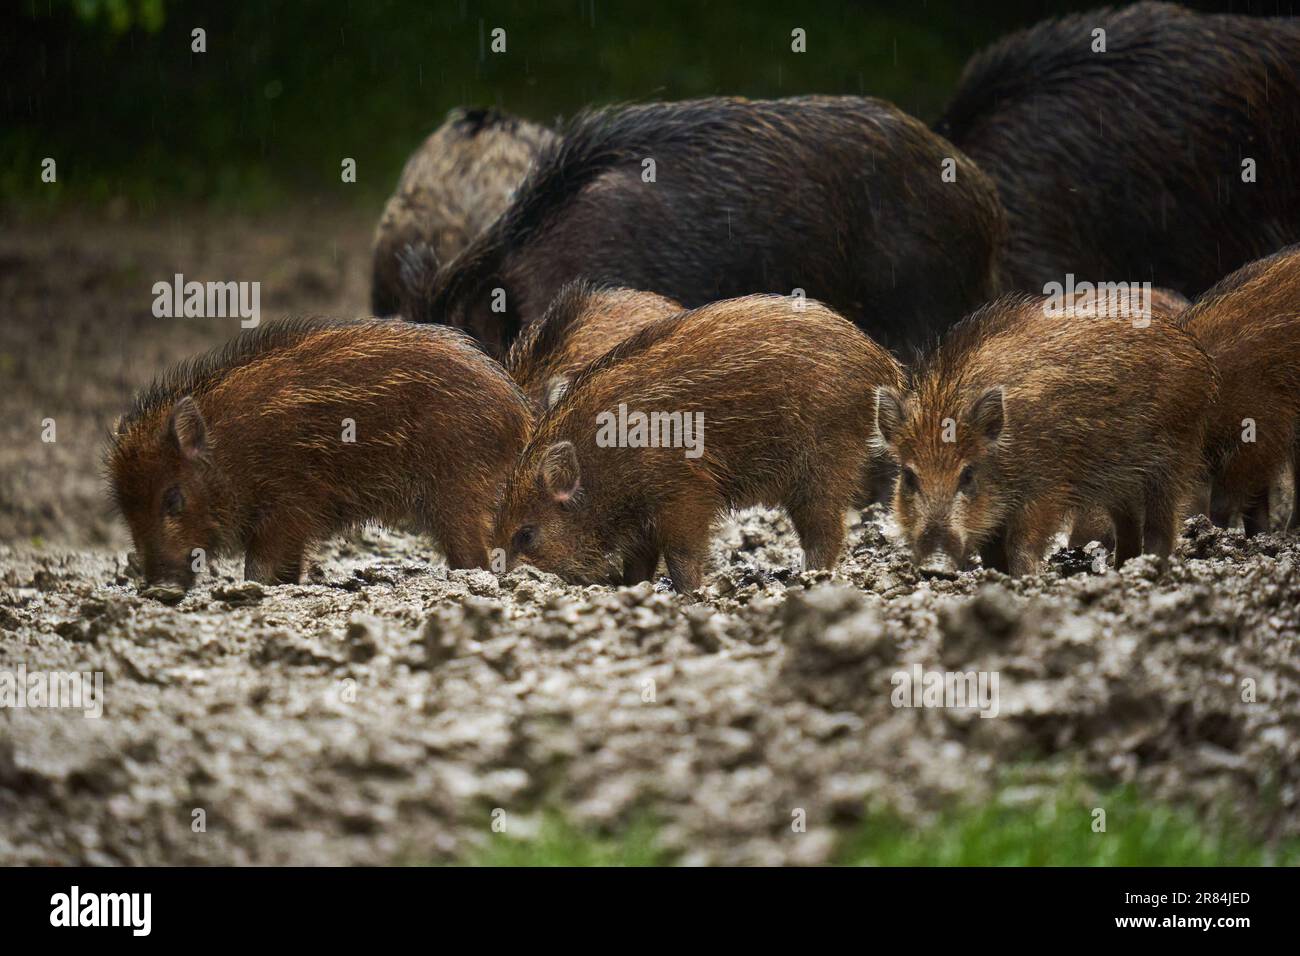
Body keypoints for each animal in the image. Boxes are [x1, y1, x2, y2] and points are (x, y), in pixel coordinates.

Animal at [106, 318, 532, 588]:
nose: (158, 589)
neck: (229, 455)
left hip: (458, 490)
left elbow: (261, 568)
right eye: (125, 511)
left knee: (479, 558)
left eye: (172, 498)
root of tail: (520, 413)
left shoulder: (291, 505)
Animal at [492, 295, 904, 592]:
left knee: (827, 533)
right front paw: (631, 588)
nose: (500, 580)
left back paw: (806, 580)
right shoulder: (642, 520)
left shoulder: (683, 496)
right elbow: (639, 561)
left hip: (823, 463)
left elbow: (683, 554)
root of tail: (882, 364)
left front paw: (688, 595)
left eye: (526, 534)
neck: (599, 466)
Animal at [875, 294, 1217, 576]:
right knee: (1128, 523)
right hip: (1120, 480)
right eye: (908, 476)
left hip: (1175, 456)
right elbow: (991, 551)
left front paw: (1025, 580)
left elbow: (1022, 544)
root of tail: (1192, 349)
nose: (936, 566)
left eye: (968, 474)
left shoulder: (1048, 489)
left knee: (1162, 524)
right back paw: (1122, 570)